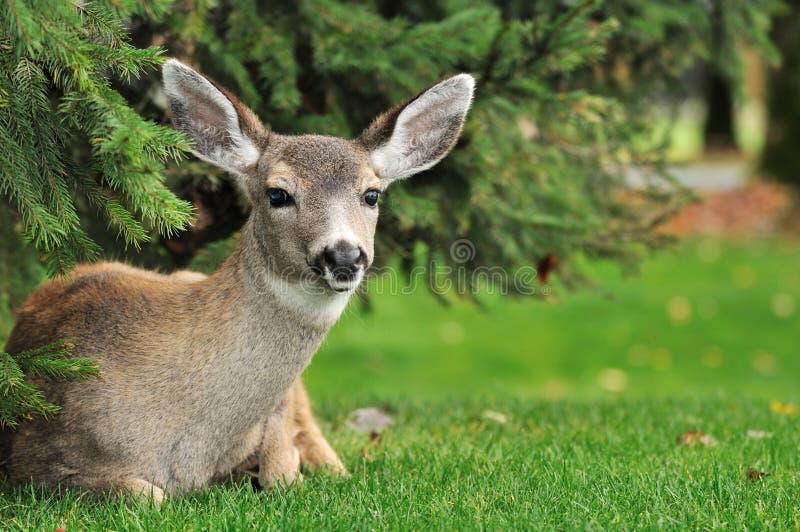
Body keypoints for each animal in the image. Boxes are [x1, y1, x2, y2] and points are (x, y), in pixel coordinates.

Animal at [0, 59, 474, 505]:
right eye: (278, 194)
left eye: (371, 195)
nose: (343, 255)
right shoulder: (36, 457)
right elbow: (146, 493)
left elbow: (282, 470)